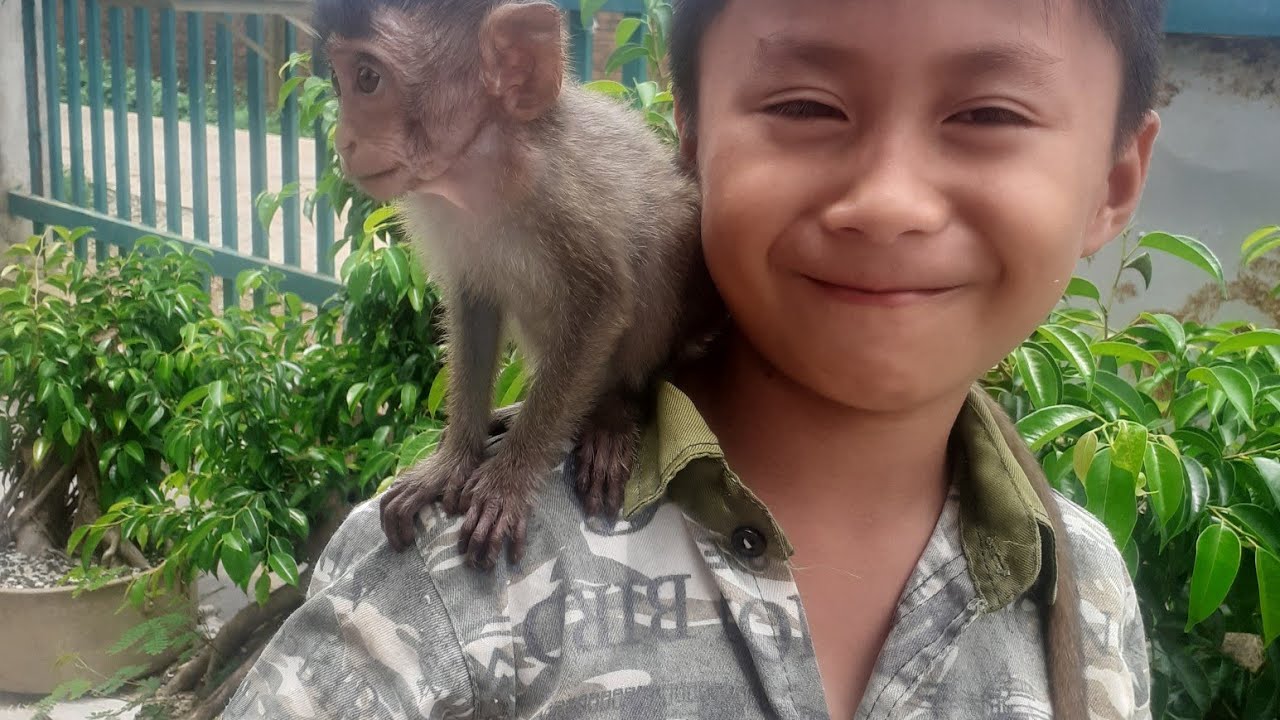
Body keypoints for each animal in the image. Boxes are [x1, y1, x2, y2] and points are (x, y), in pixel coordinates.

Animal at [315, 0, 719, 570]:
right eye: (338, 80)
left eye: (368, 79)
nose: (343, 141)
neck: (480, 170)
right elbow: (474, 306)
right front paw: (452, 460)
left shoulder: (560, 189)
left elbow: (602, 301)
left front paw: (510, 476)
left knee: (664, 231)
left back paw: (613, 410)